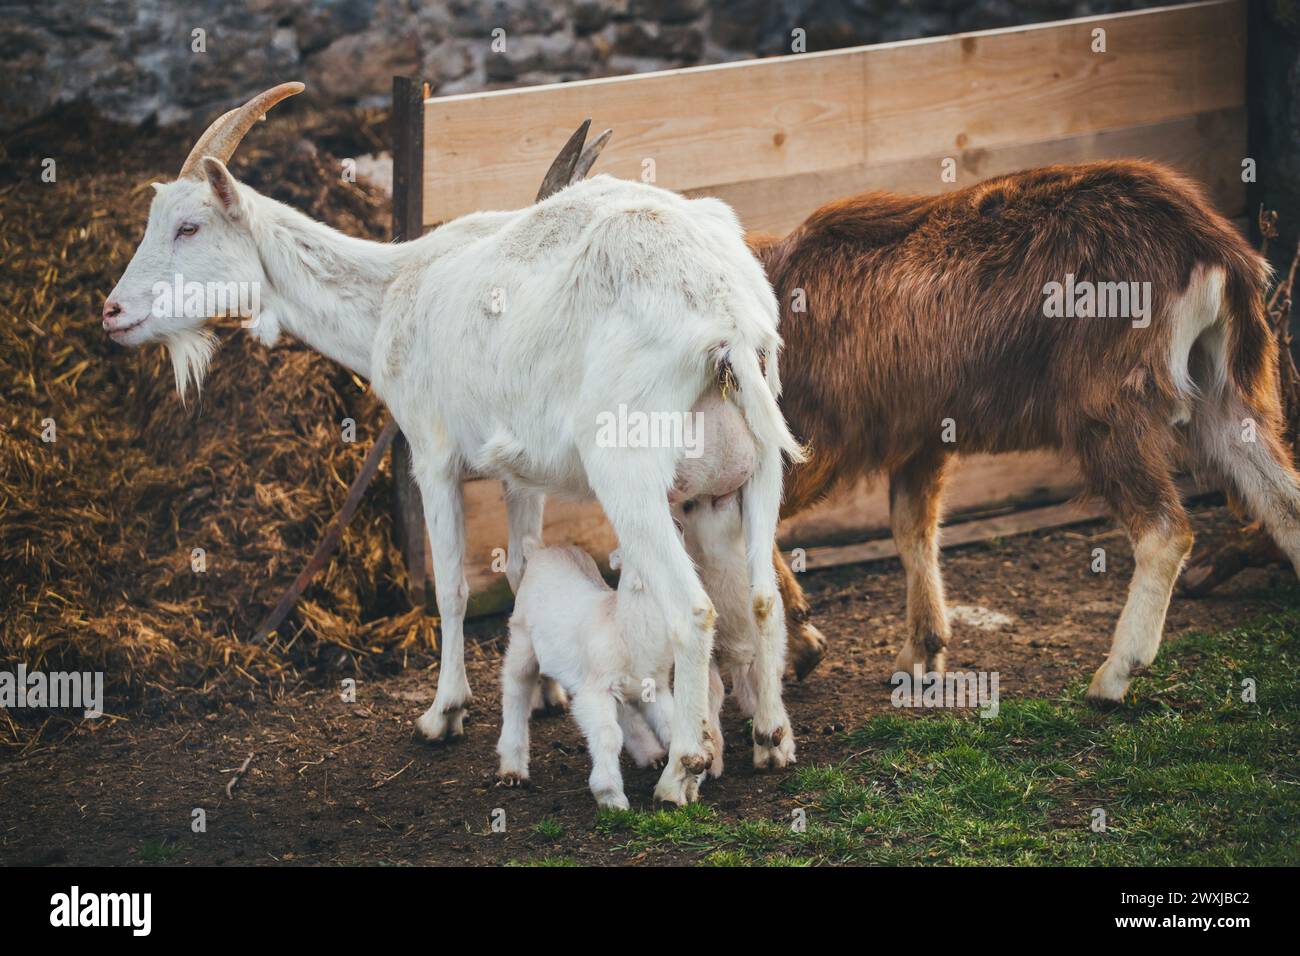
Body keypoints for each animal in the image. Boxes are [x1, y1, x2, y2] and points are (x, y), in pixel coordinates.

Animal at [103, 84, 804, 804]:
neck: (395, 290)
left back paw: (681, 769)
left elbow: (451, 588)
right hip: (755, 466)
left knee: (692, 609)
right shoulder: (522, 473)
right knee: (760, 595)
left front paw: (443, 713)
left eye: (189, 227)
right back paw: (771, 739)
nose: (112, 312)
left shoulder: (431, 454)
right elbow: (520, 569)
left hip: (628, 465)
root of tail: (725, 317)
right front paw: (543, 690)